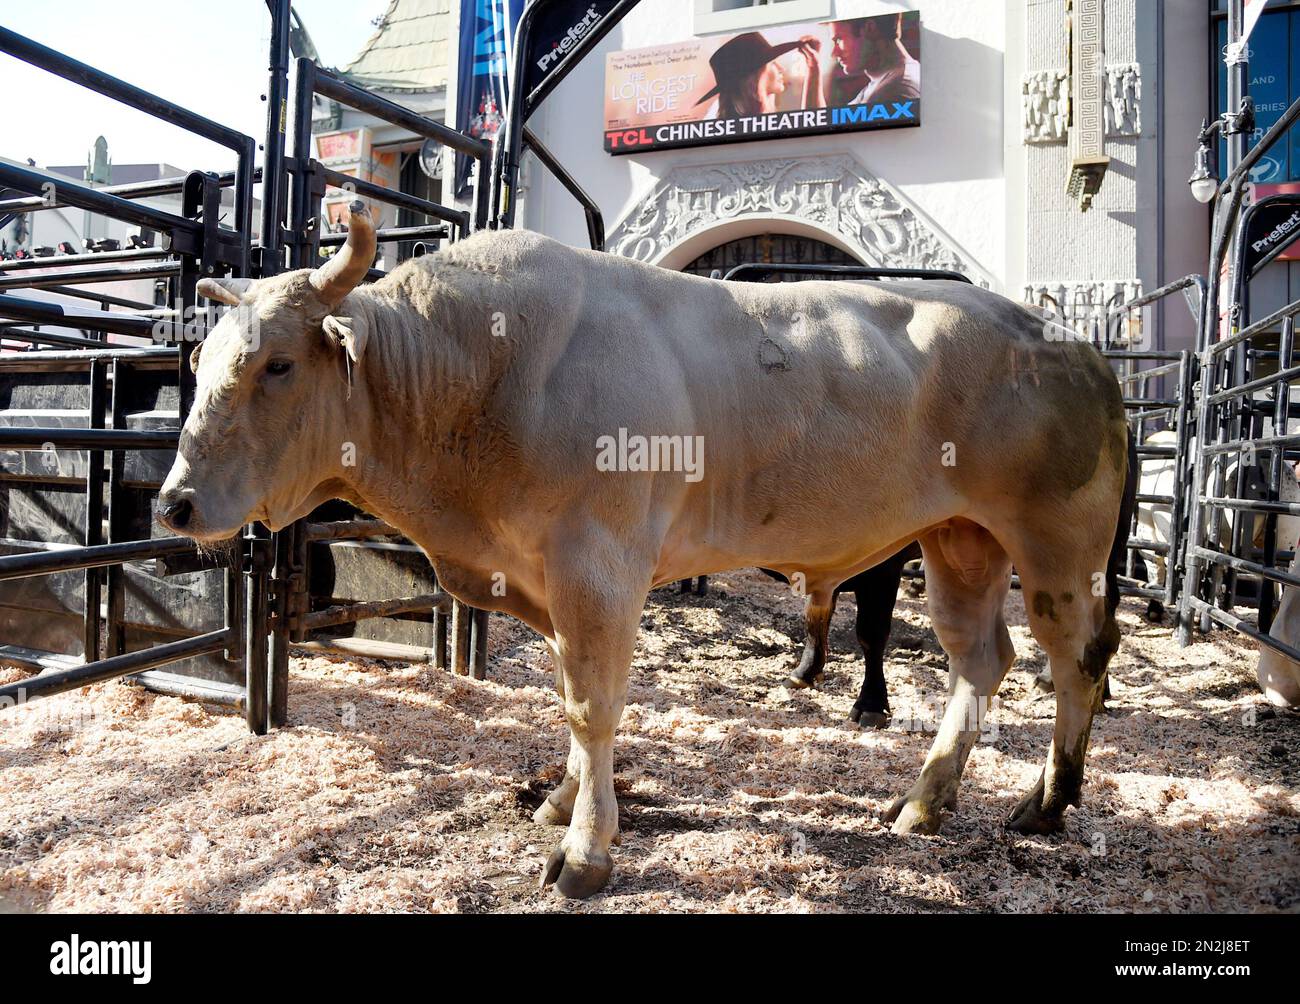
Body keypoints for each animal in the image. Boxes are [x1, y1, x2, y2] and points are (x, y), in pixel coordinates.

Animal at [157, 202, 1132, 899]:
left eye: (278, 364)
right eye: (199, 363)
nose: (173, 503)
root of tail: (1076, 346)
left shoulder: (600, 564)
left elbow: (593, 706)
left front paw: (586, 851)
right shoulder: (548, 575)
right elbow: (570, 702)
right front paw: (561, 802)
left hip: (1057, 542)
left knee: (1080, 655)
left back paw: (1048, 802)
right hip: (960, 539)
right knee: (982, 658)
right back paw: (925, 800)